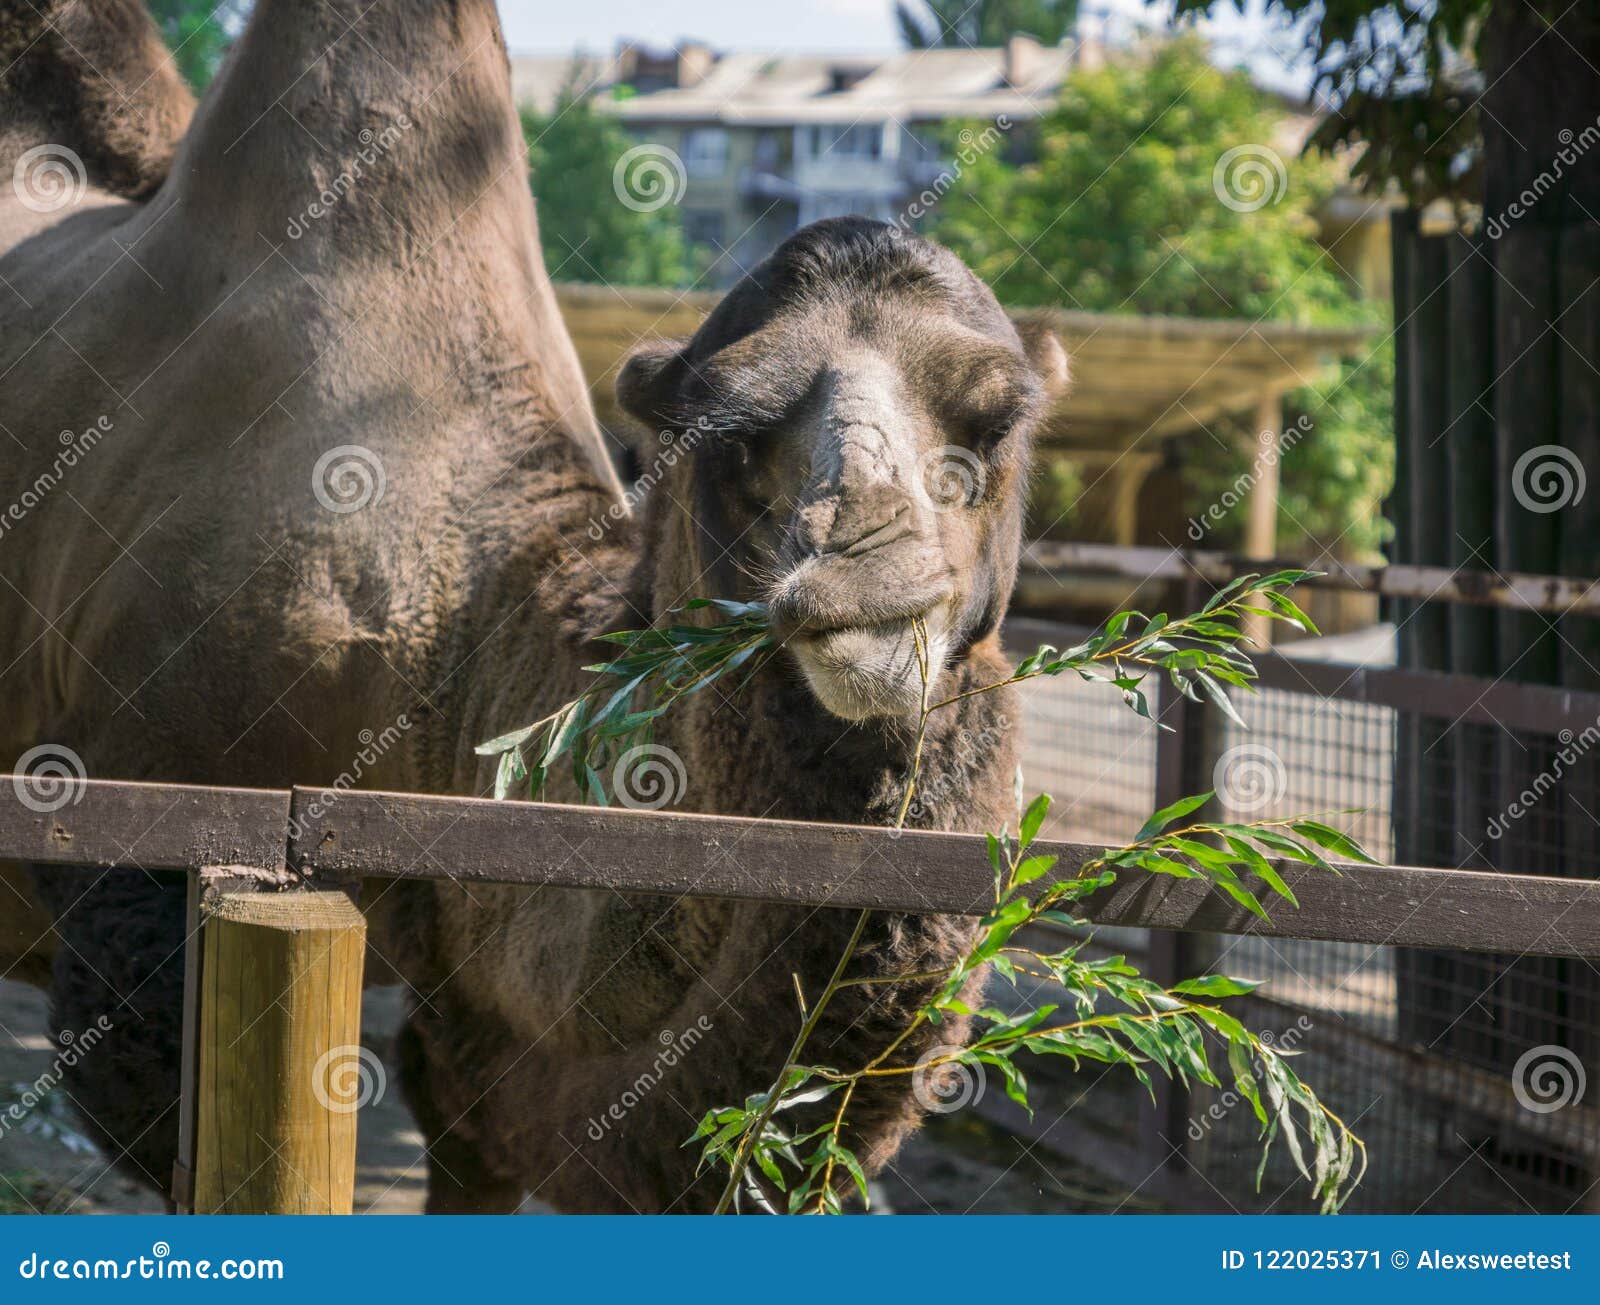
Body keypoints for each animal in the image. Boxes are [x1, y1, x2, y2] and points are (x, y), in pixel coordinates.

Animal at [0, 0, 1066, 1212]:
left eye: (995, 424)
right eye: (727, 431)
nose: (871, 583)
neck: (445, 641)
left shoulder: (475, 1014)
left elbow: (474, 1121)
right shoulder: (154, 861)